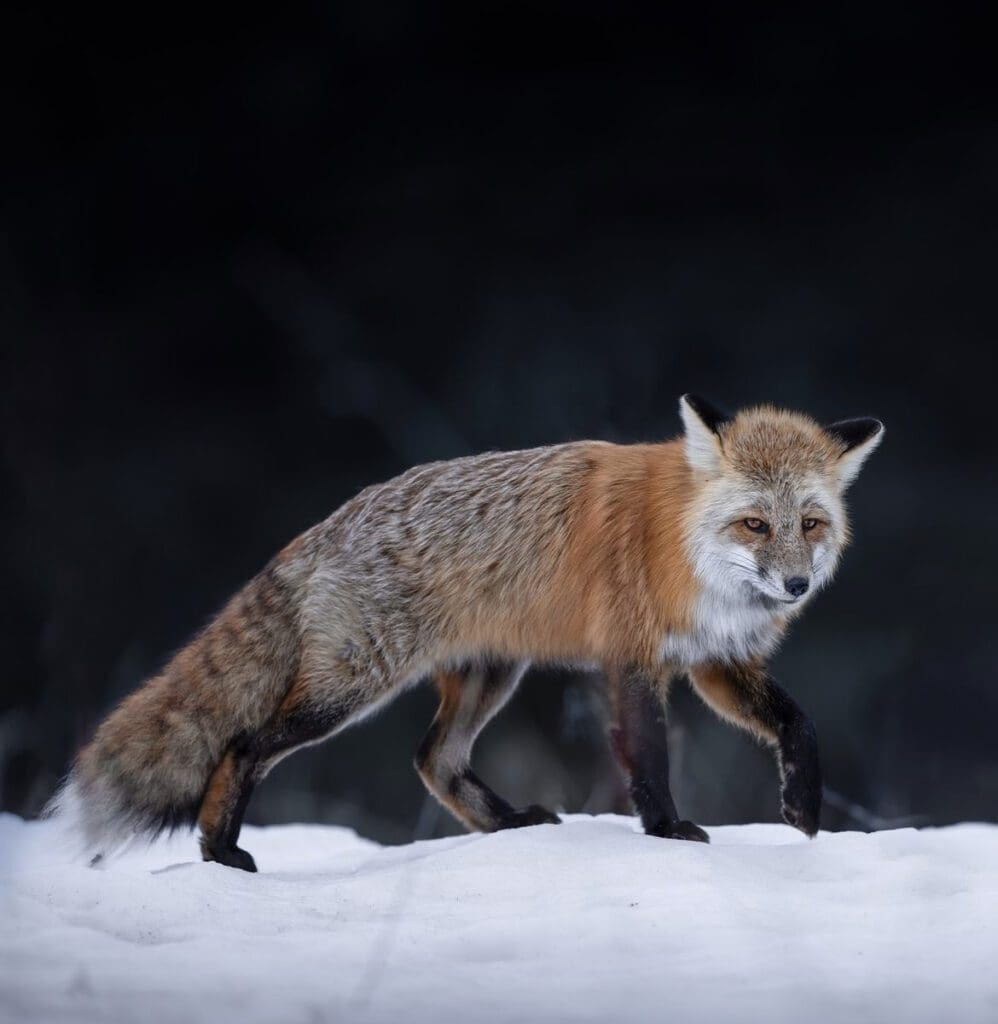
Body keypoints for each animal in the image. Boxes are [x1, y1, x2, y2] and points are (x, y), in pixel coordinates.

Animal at [50, 395, 883, 871]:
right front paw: (669, 831)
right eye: (755, 524)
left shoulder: (716, 661)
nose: (796, 586)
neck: (685, 550)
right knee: (243, 746)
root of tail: (317, 531)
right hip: (350, 689)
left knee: (434, 759)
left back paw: (510, 825)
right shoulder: (632, 659)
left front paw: (804, 809)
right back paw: (218, 851)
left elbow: (798, 725)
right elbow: (648, 758)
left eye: (810, 524)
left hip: (490, 676)